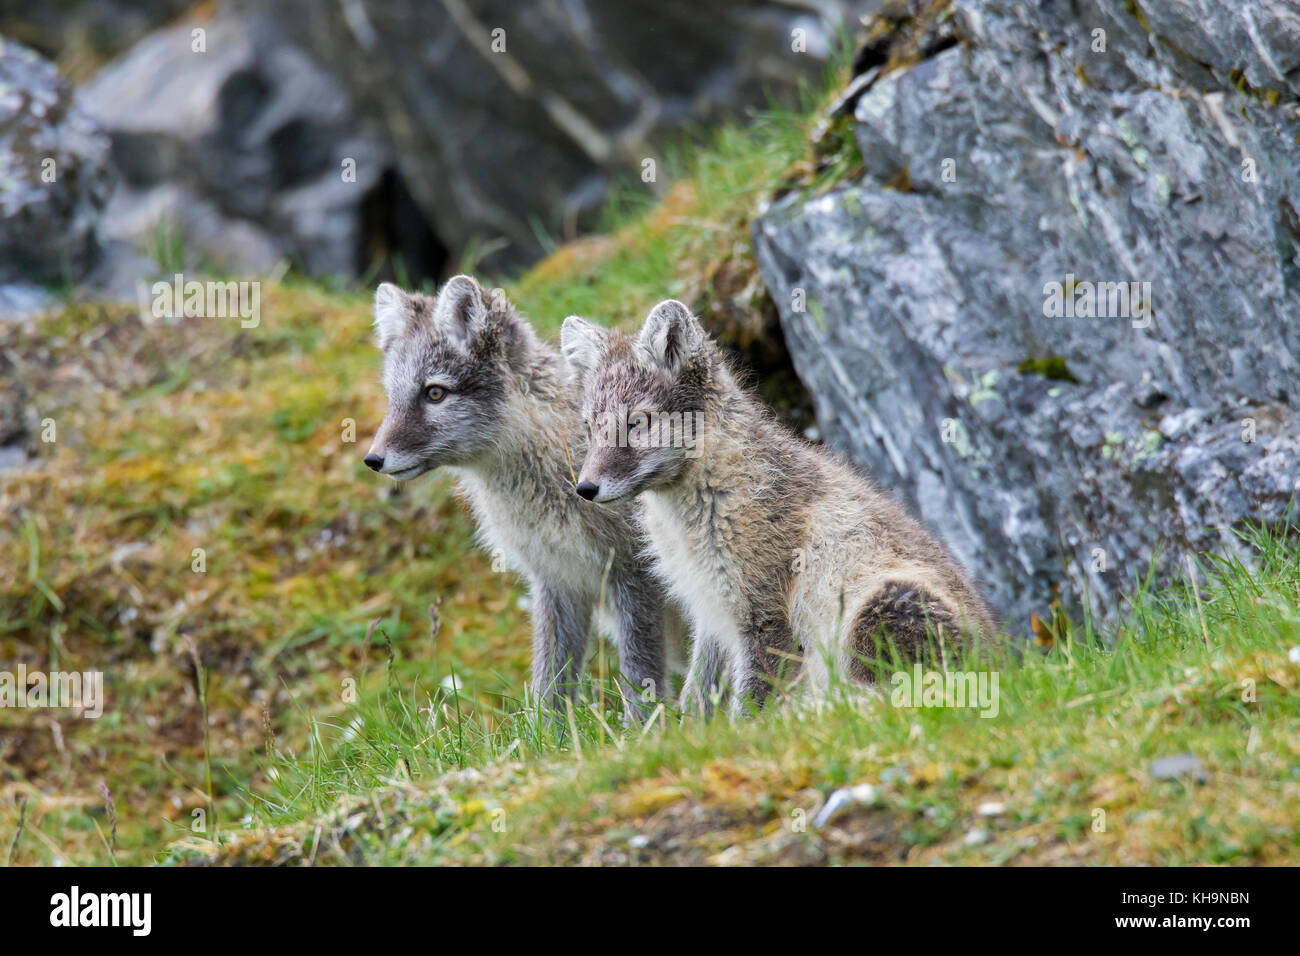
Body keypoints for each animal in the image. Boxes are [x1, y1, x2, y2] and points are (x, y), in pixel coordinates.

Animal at [364, 275, 682, 720]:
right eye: (392, 396)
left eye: (435, 393)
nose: (373, 459)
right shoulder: (556, 580)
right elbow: (550, 682)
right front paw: (549, 733)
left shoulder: (632, 575)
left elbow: (641, 677)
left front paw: (642, 730)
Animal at [560, 299, 998, 717]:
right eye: (589, 428)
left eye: (637, 422)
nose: (585, 488)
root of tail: (1003, 661)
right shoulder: (711, 609)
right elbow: (699, 693)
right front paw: (690, 729)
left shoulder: (764, 614)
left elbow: (749, 705)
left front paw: (743, 730)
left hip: (882, 604)